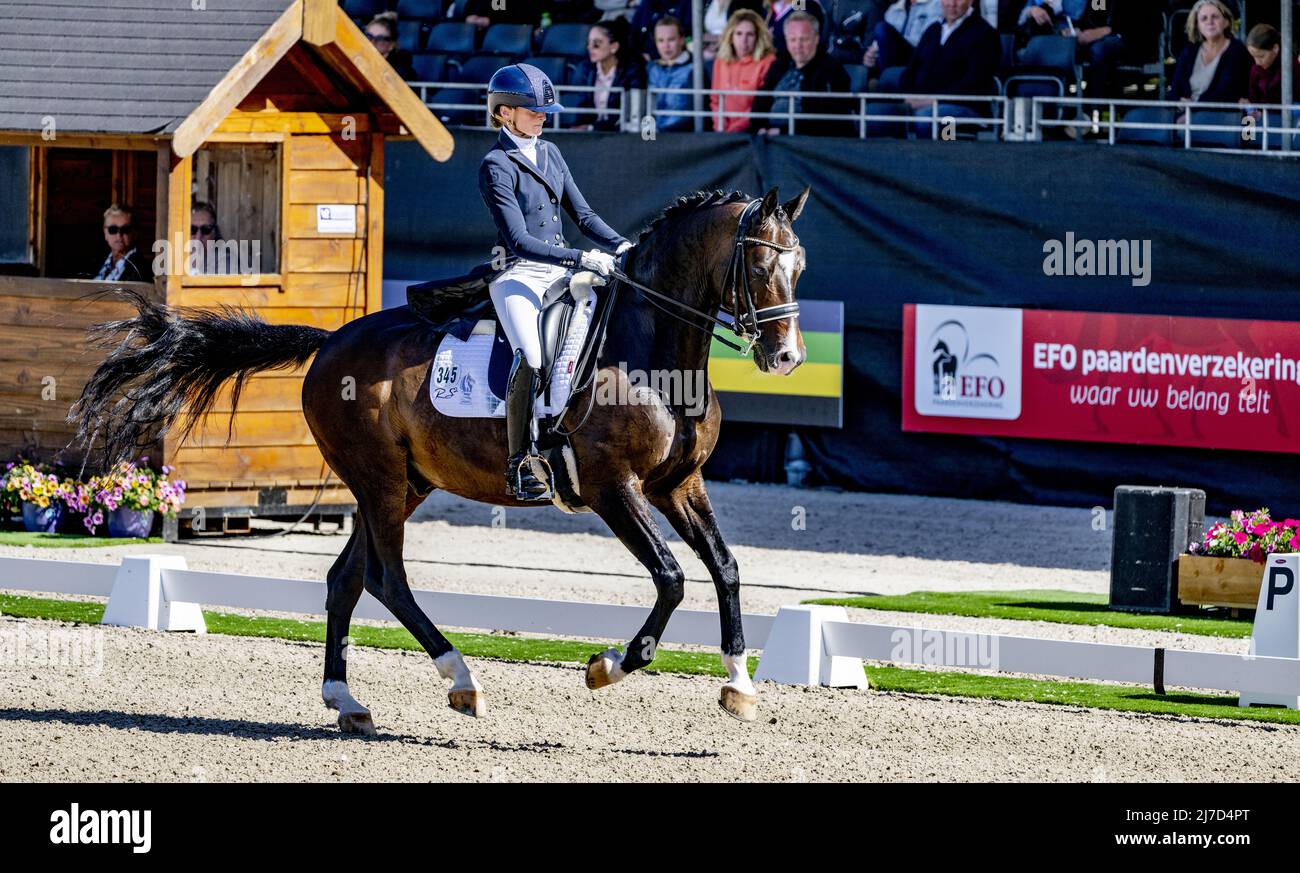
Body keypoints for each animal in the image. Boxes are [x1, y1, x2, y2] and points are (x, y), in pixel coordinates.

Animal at [71, 185, 806, 727]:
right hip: (377, 480)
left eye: (798, 267)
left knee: (346, 578)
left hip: (403, 484)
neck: (651, 351)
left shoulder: (677, 484)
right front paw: (608, 666)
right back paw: (461, 678)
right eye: (758, 266)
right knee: (387, 578)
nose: (787, 358)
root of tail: (331, 341)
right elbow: (673, 577)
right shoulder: (611, 487)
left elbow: (726, 567)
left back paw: (347, 702)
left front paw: (740, 685)